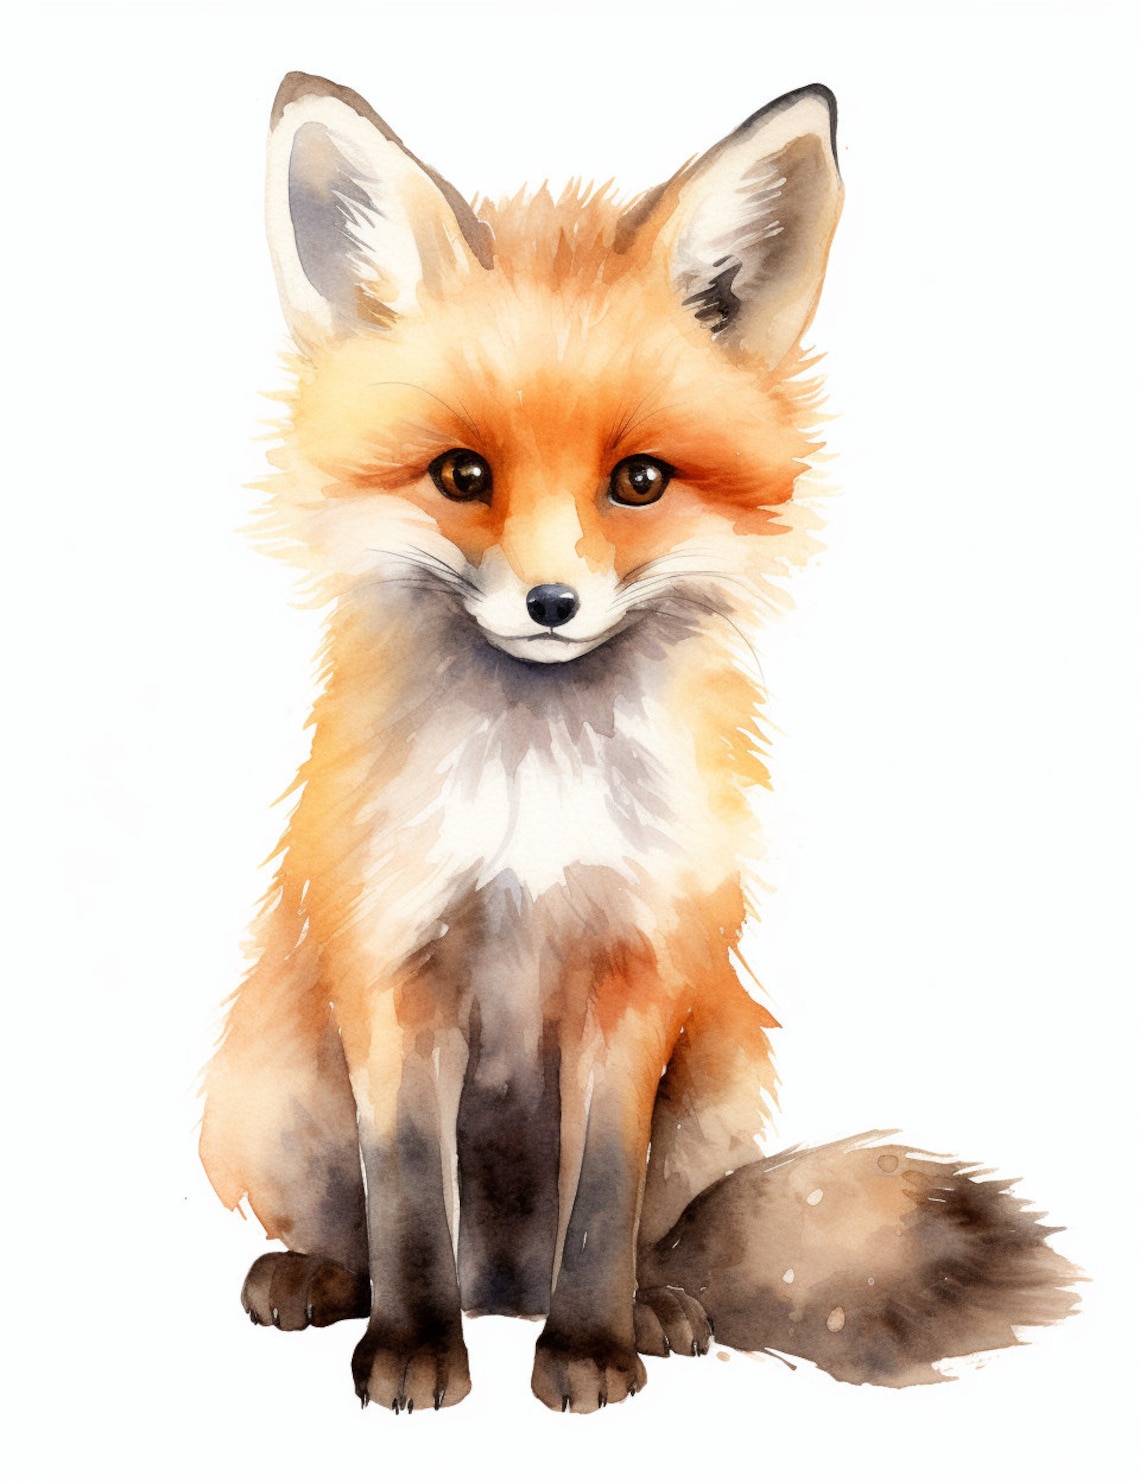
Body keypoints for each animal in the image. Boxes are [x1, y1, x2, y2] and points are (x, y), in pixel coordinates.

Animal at [199, 71, 1077, 1415]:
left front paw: (589, 1348)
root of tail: (500, 1282)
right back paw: (326, 1279)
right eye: (463, 474)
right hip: (270, 1078)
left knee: (651, 1239)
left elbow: (604, 1198)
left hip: (720, 1071)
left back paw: (652, 1307)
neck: (532, 809)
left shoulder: (636, 973)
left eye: (640, 482)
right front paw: (412, 1347)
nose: (552, 605)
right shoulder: (394, 968)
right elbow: (406, 1197)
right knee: (360, 1228)